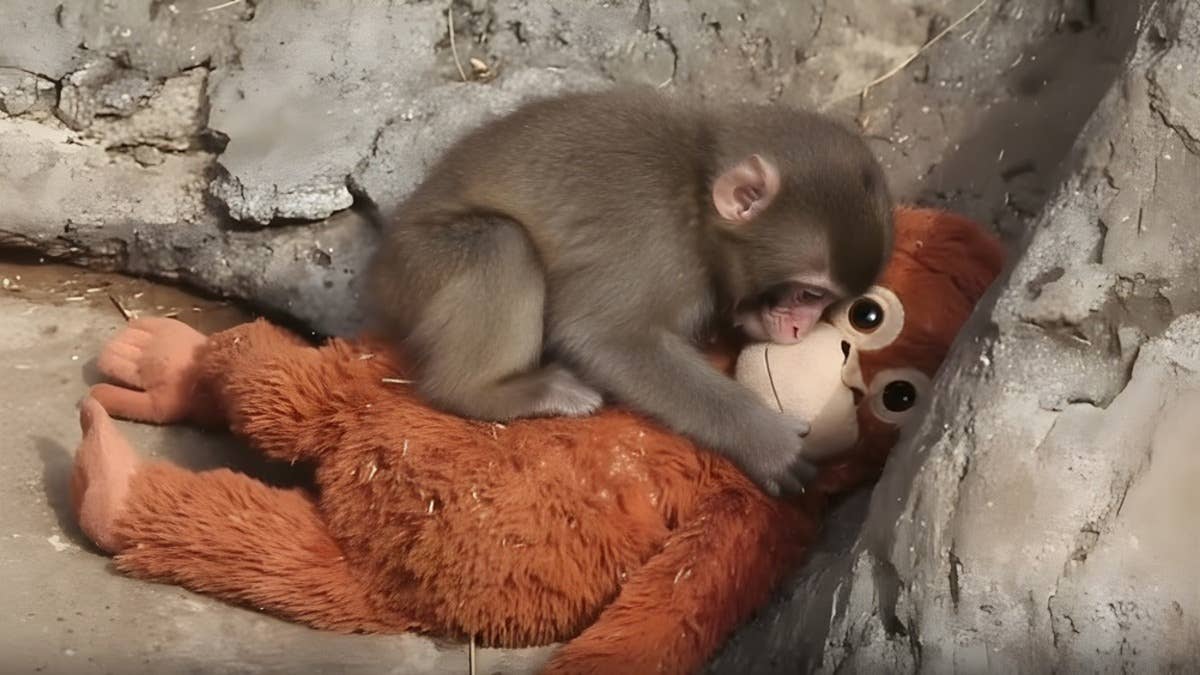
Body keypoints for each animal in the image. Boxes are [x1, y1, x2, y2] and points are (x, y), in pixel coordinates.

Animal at [362, 88, 893, 496]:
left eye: (827, 302)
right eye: (807, 293)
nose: (802, 326)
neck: (696, 198)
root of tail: (381, 272)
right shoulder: (654, 245)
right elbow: (603, 336)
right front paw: (766, 441)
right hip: (420, 268)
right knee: (502, 244)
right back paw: (488, 393)